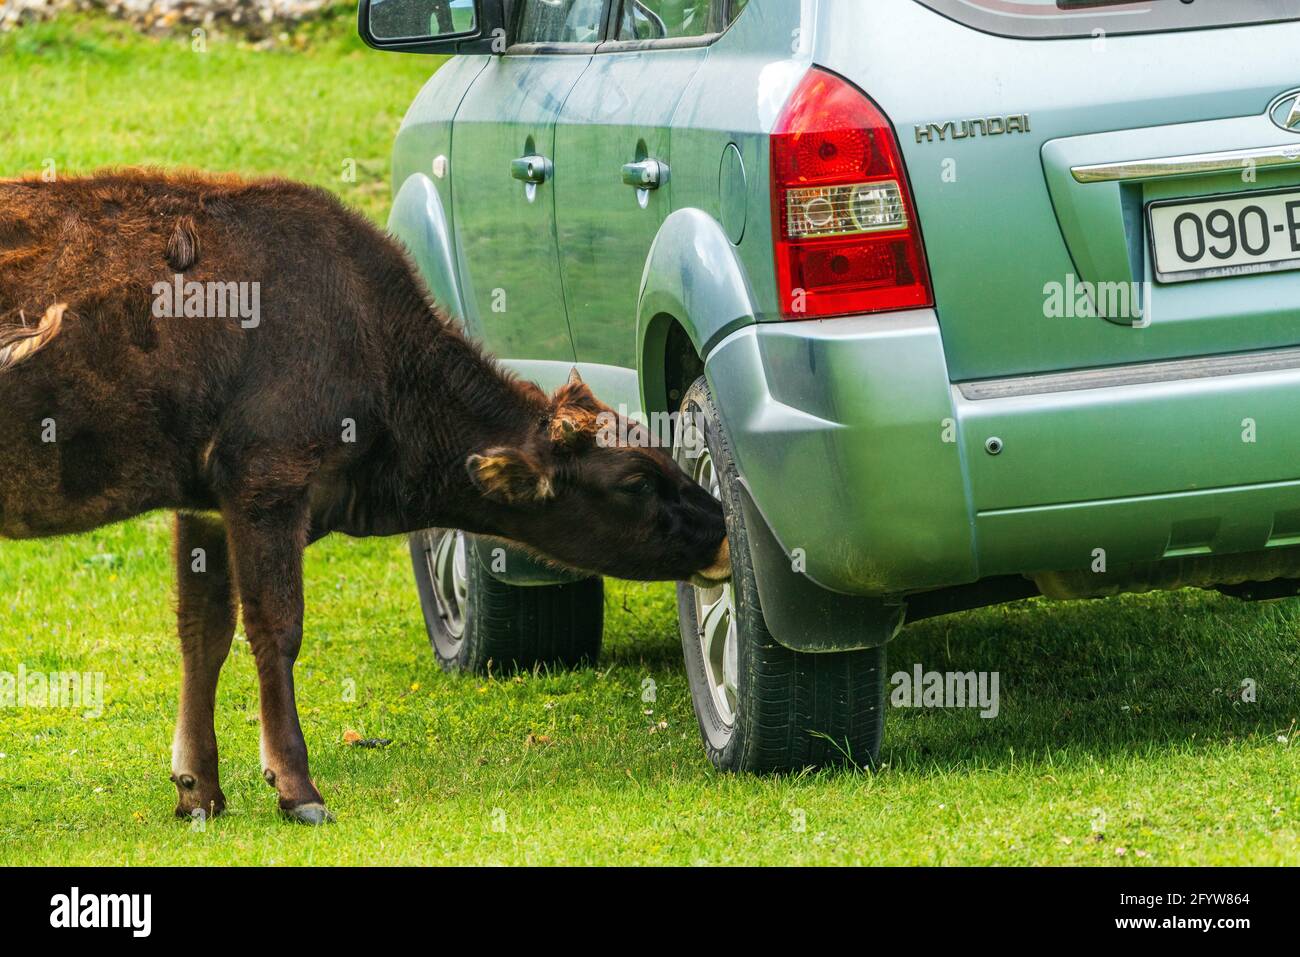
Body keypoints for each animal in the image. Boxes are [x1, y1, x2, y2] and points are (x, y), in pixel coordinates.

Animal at [0, 169, 730, 824]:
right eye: (637, 480)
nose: (722, 519)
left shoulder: (200, 502)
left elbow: (203, 632)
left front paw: (198, 789)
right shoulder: (266, 477)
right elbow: (276, 627)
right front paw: (296, 787)